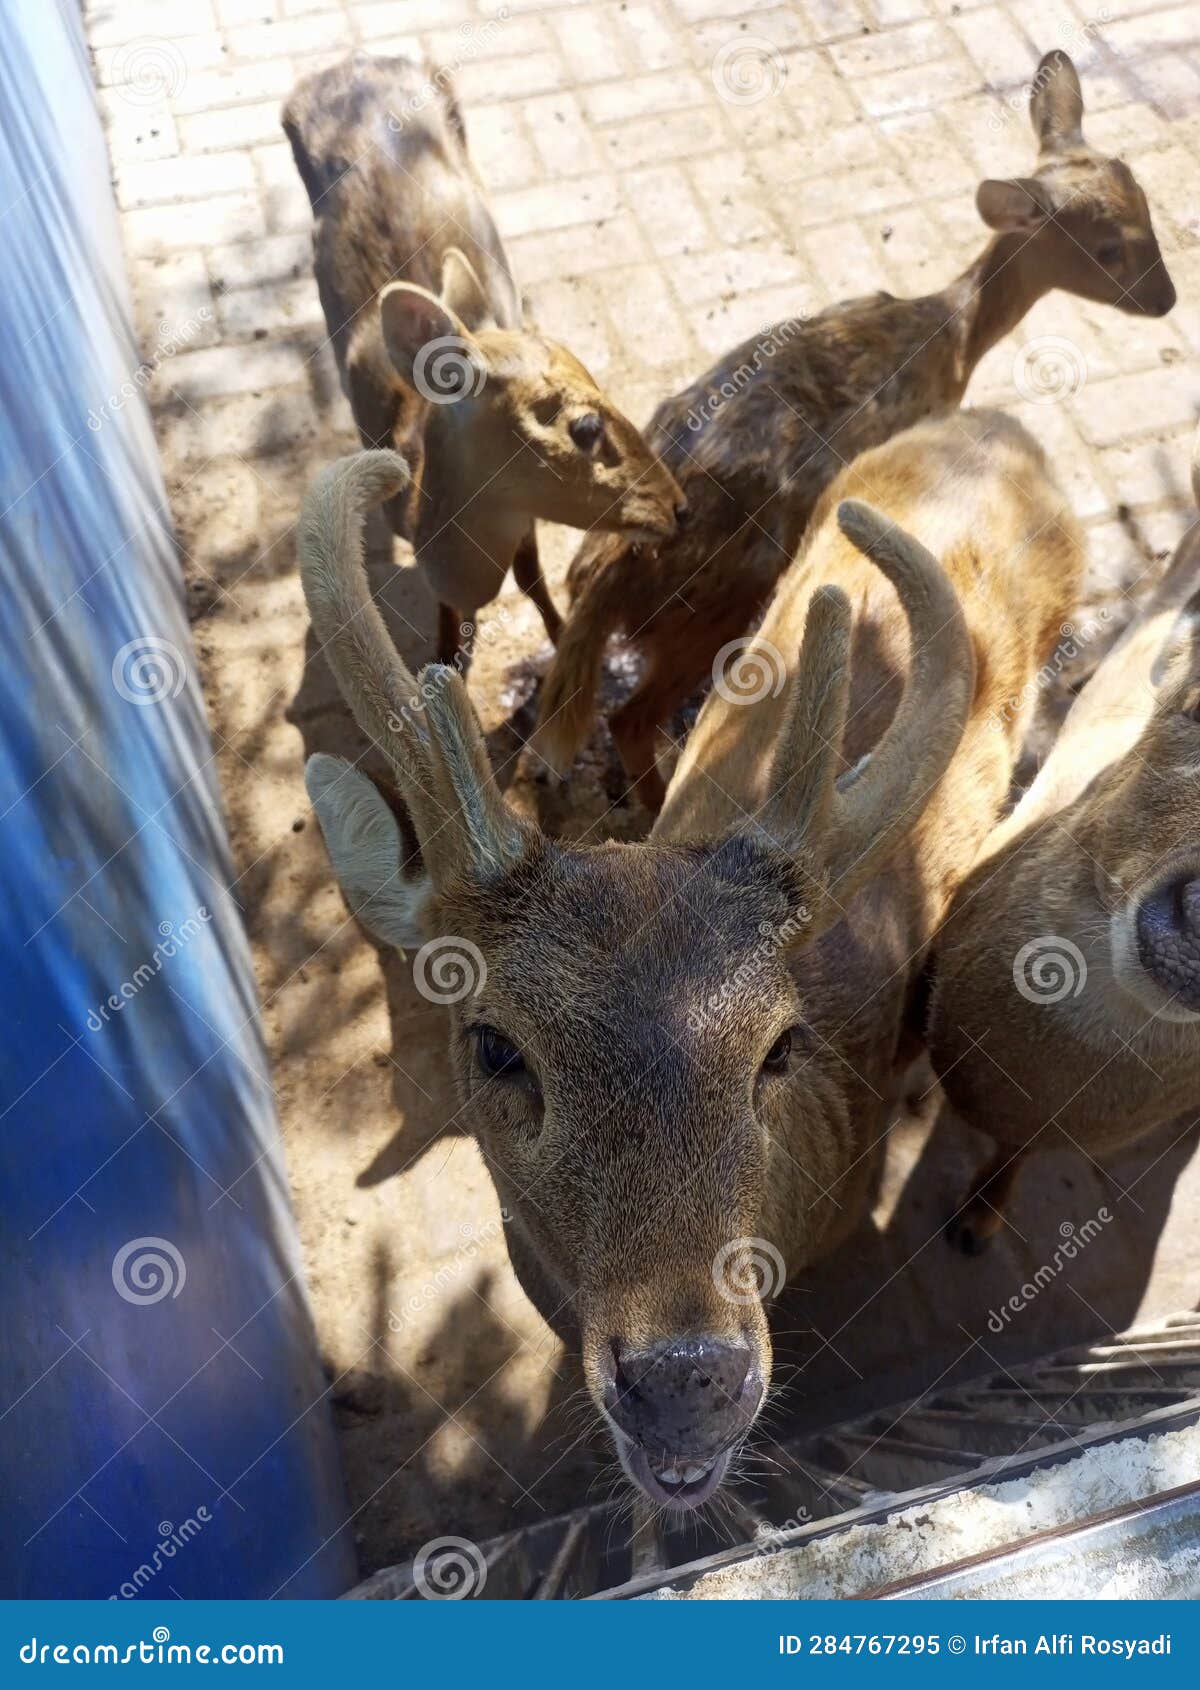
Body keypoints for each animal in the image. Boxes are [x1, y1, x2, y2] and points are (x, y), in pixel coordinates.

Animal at [283, 53, 684, 670]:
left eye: (598, 377)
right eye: (585, 427)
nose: (680, 508)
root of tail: (352, 65)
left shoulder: (525, 523)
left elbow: (533, 577)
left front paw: (556, 640)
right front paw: (446, 658)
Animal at [530, 49, 1175, 812]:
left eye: (1146, 206)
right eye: (1107, 250)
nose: (1167, 299)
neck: (952, 336)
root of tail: (610, 571)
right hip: (710, 607)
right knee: (632, 717)